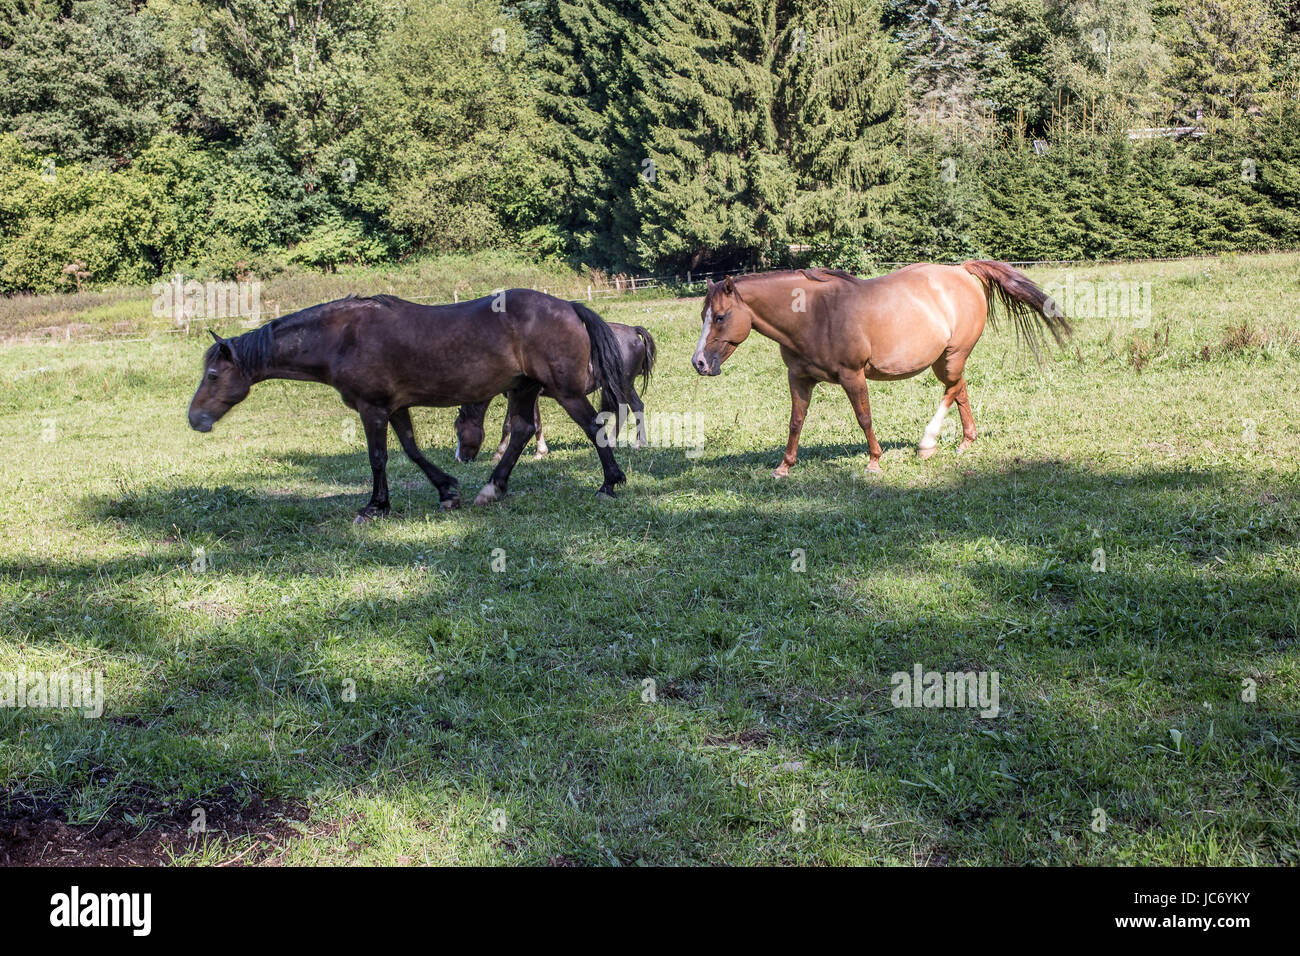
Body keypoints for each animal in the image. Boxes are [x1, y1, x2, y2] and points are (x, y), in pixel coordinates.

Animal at [187, 291, 629, 522]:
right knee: (521, 430)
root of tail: (569, 305)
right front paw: (447, 489)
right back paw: (492, 488)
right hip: (523, 389)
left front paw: (375, 506)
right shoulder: (394, 408)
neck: (341, 337)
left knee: (593, 427)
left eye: (213, 375)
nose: (195, 419)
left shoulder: (372, 408)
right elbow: (413, 450)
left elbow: (379, 457)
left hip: (563, 391)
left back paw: (609, 484)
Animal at [453, 323, 656, 462]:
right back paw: (639, 444)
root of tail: (633, 331)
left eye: (458, 429)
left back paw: (616, 443)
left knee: (625, 410)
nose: (459, 458)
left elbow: (518, 423)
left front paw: (526, 452)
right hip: (625, 386)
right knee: (636, 407)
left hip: (622, 385)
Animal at [690, 260, 1070, 475]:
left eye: (720, 317)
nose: (699, 363)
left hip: (952, 356)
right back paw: (965, 441)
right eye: (703, 315)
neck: (813, 314)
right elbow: (795, 422)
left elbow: (864, 418)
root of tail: (961, 271)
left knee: (951, 390)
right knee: (960, 389)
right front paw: (784, 467)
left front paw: (874, 461)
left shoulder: (852, 375)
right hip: (944, 360)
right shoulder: (799, 378)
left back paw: (928, 444)